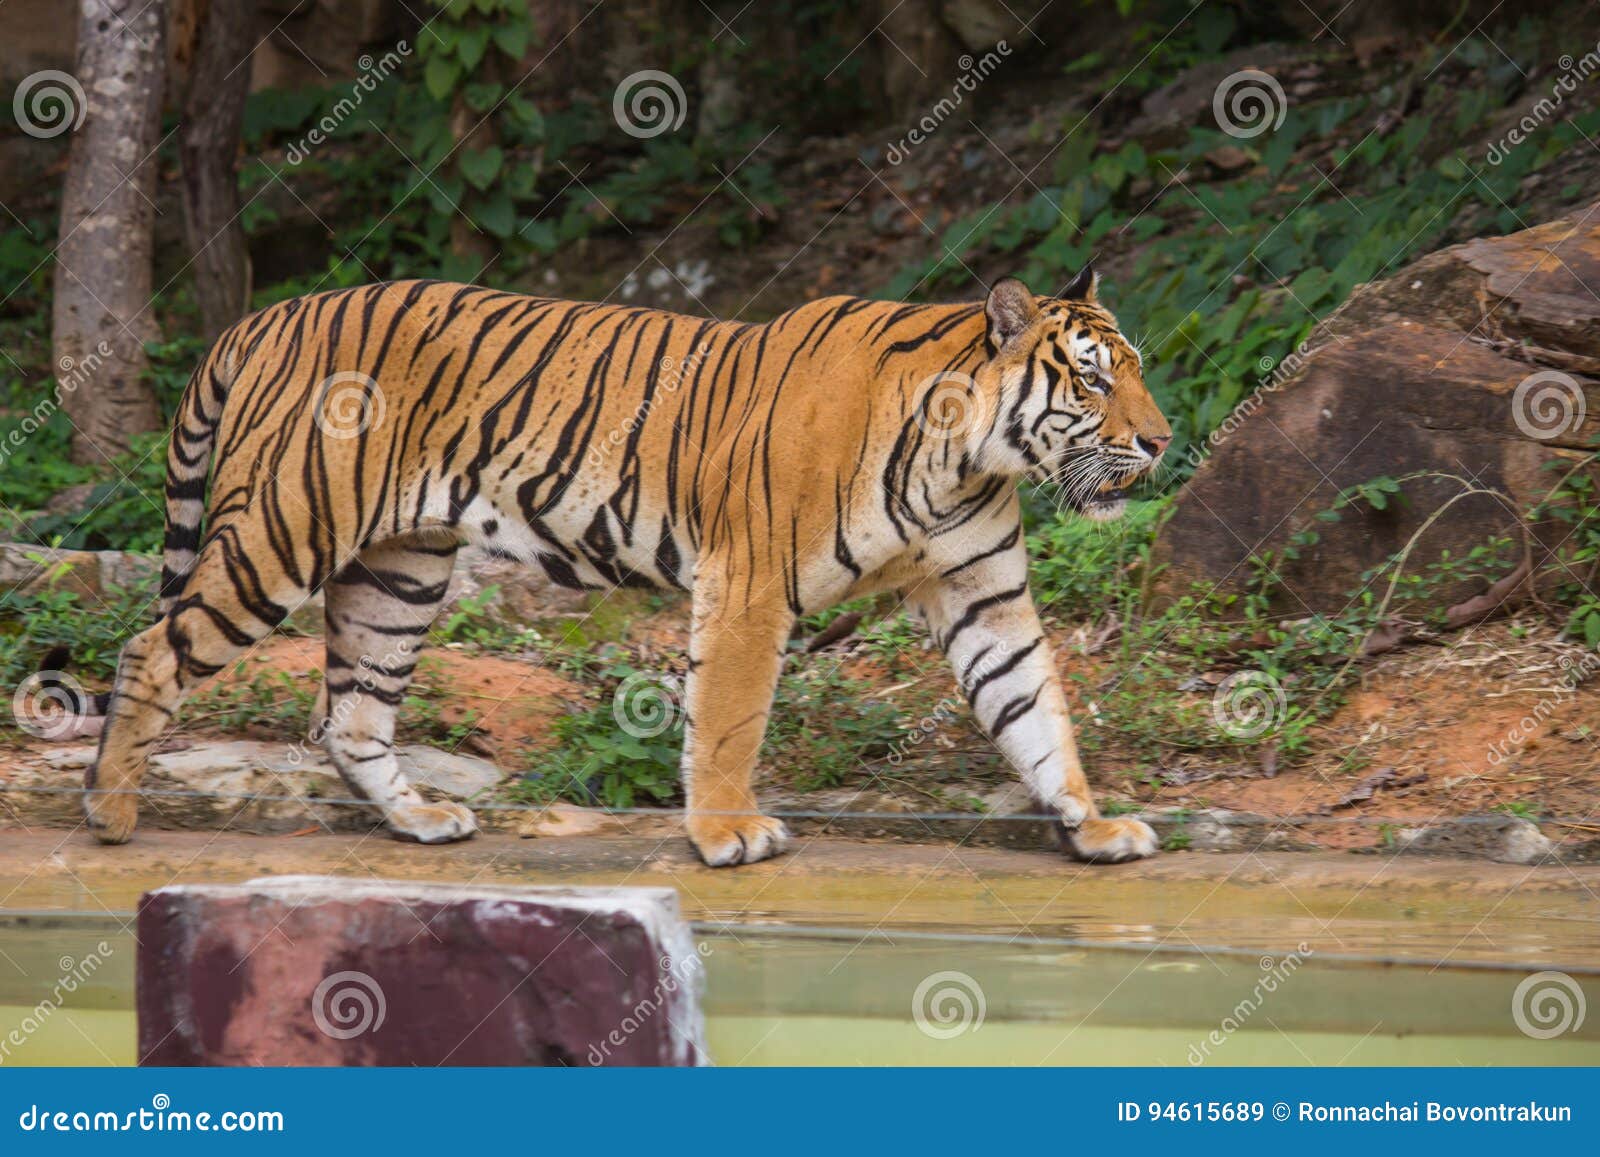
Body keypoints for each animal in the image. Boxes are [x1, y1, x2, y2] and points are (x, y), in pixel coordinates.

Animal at [82, 265, 1171, 866]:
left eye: (1137, 370)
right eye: (1091, 379)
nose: (1161, 440)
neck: (965, 456)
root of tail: (264, 316)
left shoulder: (984, 593)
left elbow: (1035, 709)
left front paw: (1092, 826)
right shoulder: (748, 582)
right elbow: (729, 717)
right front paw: (728, 835)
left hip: (400, 570)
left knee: (348, 713)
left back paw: (421, 817)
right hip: (283, 530)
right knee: (153, 647)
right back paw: (110, 809)